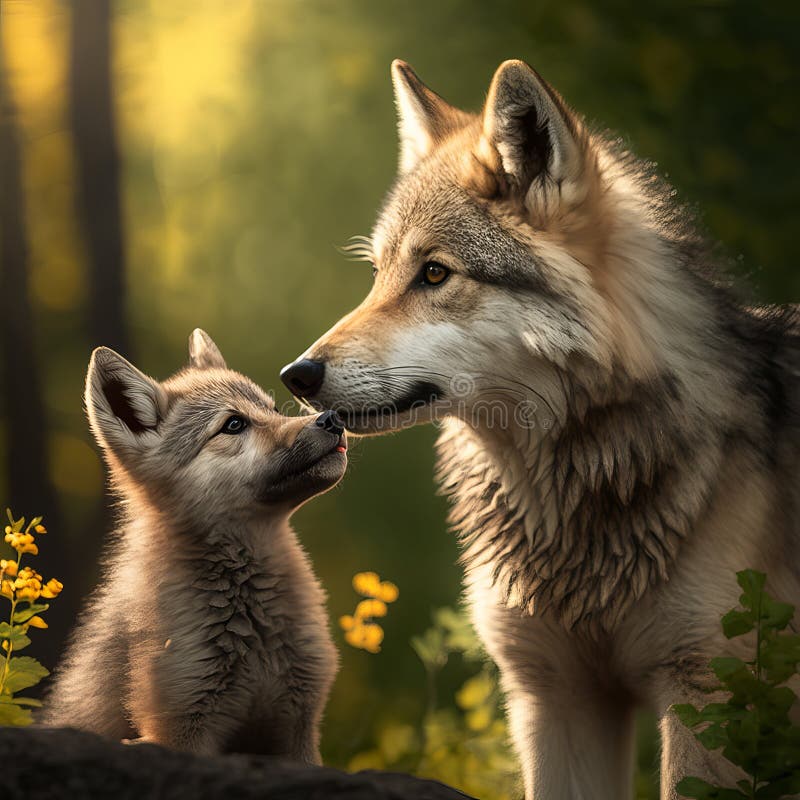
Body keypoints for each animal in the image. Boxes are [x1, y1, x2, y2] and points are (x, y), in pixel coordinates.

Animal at [44, 330, 345, 762]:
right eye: (234, 424)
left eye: (272, 409)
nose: (333, 419)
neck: (257, 635)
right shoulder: (181, 730)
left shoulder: (299, 729)